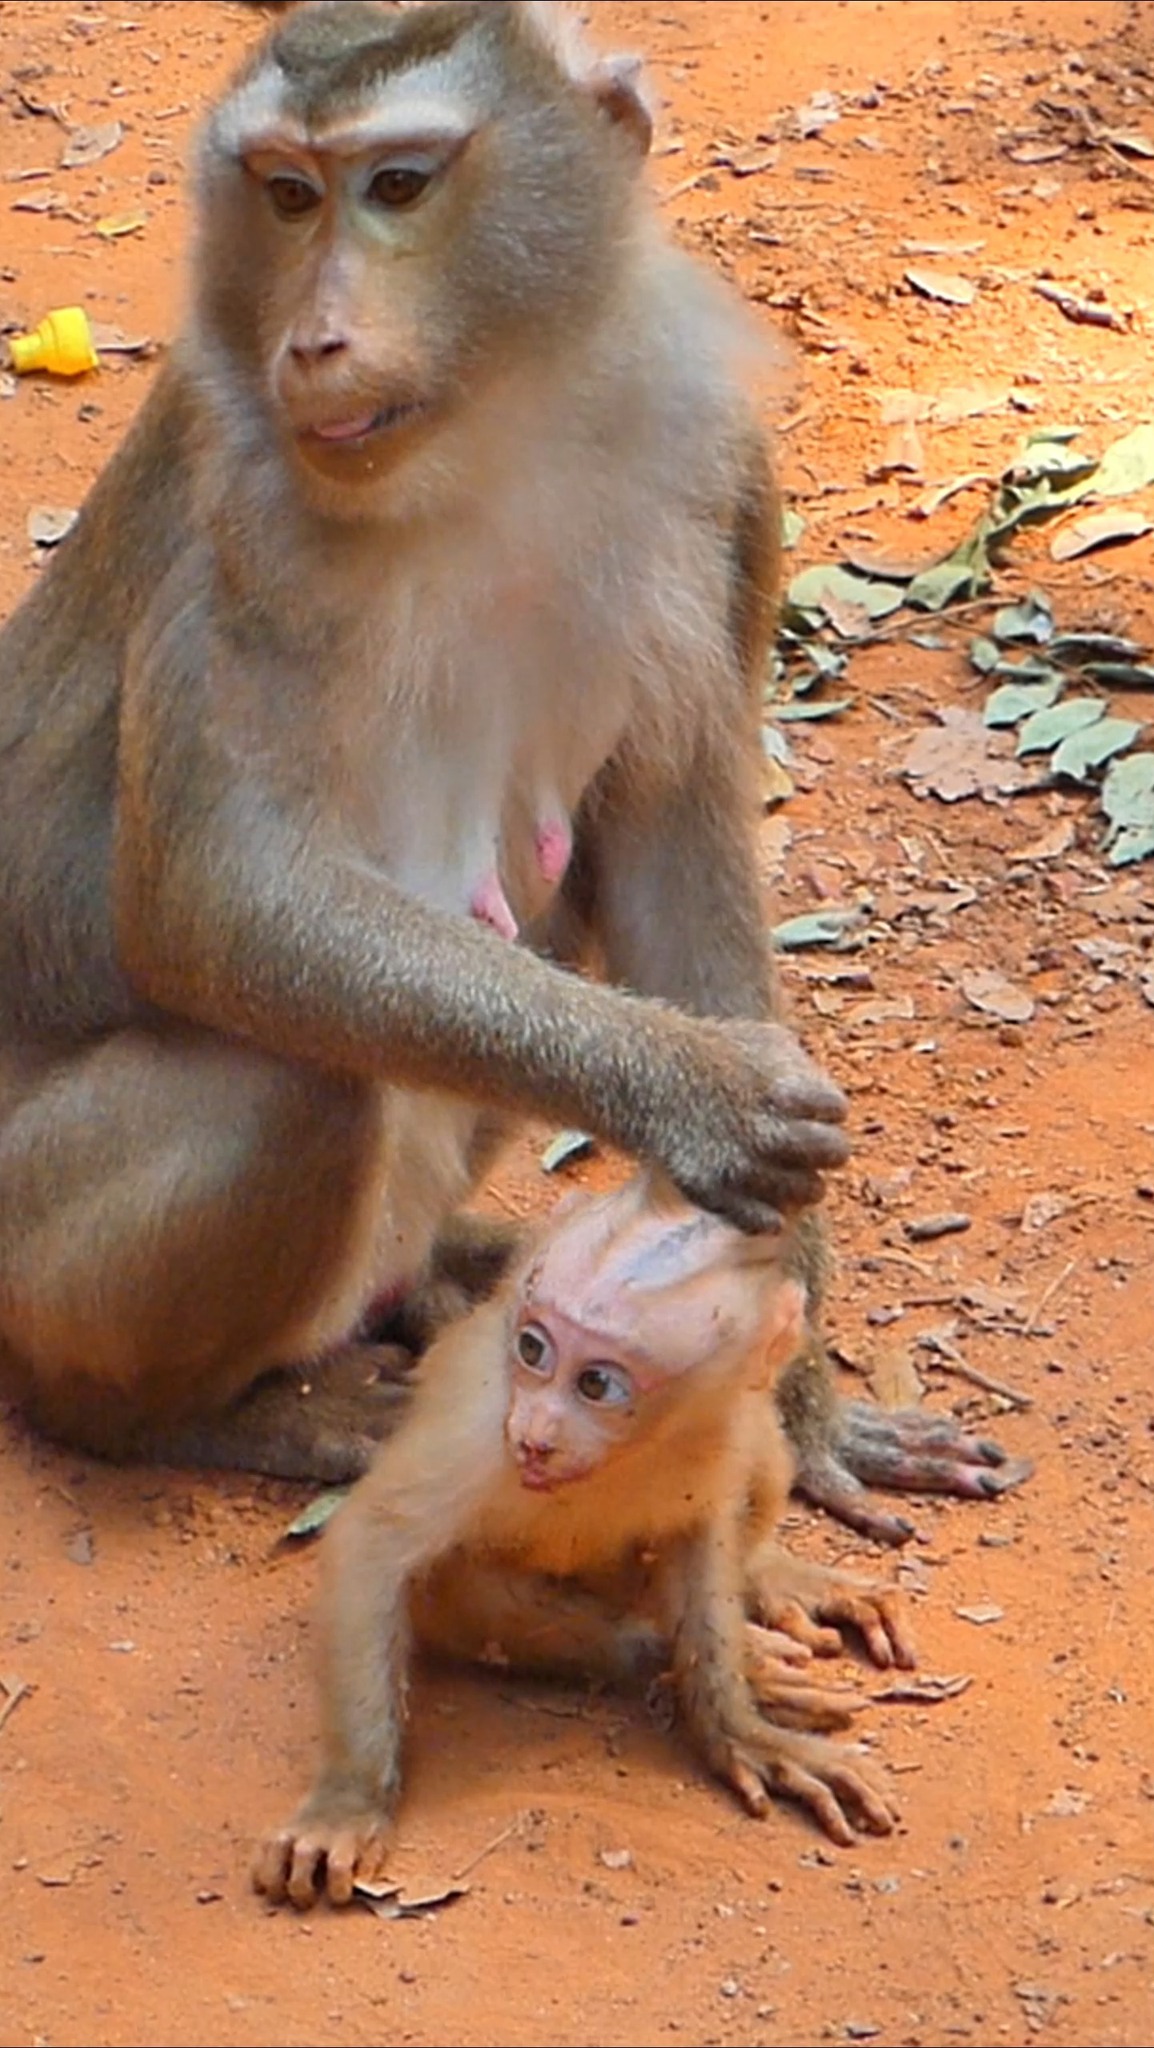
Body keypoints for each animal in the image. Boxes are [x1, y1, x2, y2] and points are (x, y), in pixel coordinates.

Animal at [0, 0, 1024, 1538]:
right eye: (287, 195)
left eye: (397, 185)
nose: (313, 340)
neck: (494, 435)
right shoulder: (242, 502)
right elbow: (213, 899)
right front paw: (685, 1091)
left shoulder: (717, 474)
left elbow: (664, 868)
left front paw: (791, 1396)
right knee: (292, 1072)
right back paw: (184, 1415)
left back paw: (446, 1279)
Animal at [254, 1172, 915, 1910]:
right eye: (532, 1349)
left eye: (597, 1382)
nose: (538, 1434)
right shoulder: (482, 1430)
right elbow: (373, 1547)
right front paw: (348, 1803)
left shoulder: (718, 1421)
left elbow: (704, 1542)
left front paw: (739, 1728)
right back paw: (674, 1652)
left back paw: (763, 1590)